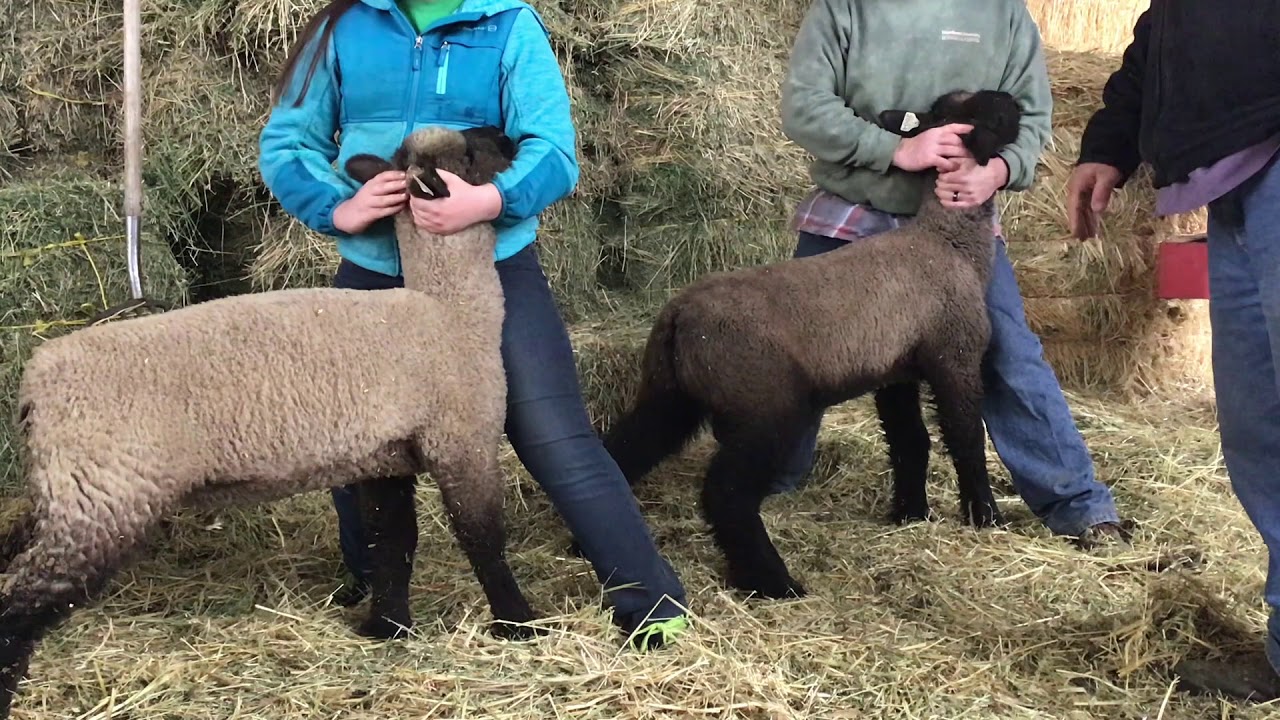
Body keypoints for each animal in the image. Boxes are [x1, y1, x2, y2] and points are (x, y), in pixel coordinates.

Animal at [0, 124, 539, 718]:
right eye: (469, 153)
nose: (508, 136)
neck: (449, 308)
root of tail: (34, 383)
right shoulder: (463, 437)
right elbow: (482, 537)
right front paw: (518, 623)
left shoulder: (385, 456)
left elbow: (390, 541)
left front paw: (388, 627)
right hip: (104, 495)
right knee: (20, 603)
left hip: (65, 489)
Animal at [600, 90, 1022, 600]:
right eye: (987, 111)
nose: (1017, 101)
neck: (948, 241)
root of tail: (678, 315)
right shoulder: (955, 356)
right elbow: (965, 438)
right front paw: (986, 516)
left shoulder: (894, 371)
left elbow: (911, 441)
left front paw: (910, 514)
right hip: (764, 407)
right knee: (726, 493)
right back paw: (774, 583)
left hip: (670, 396)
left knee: (625, 448)